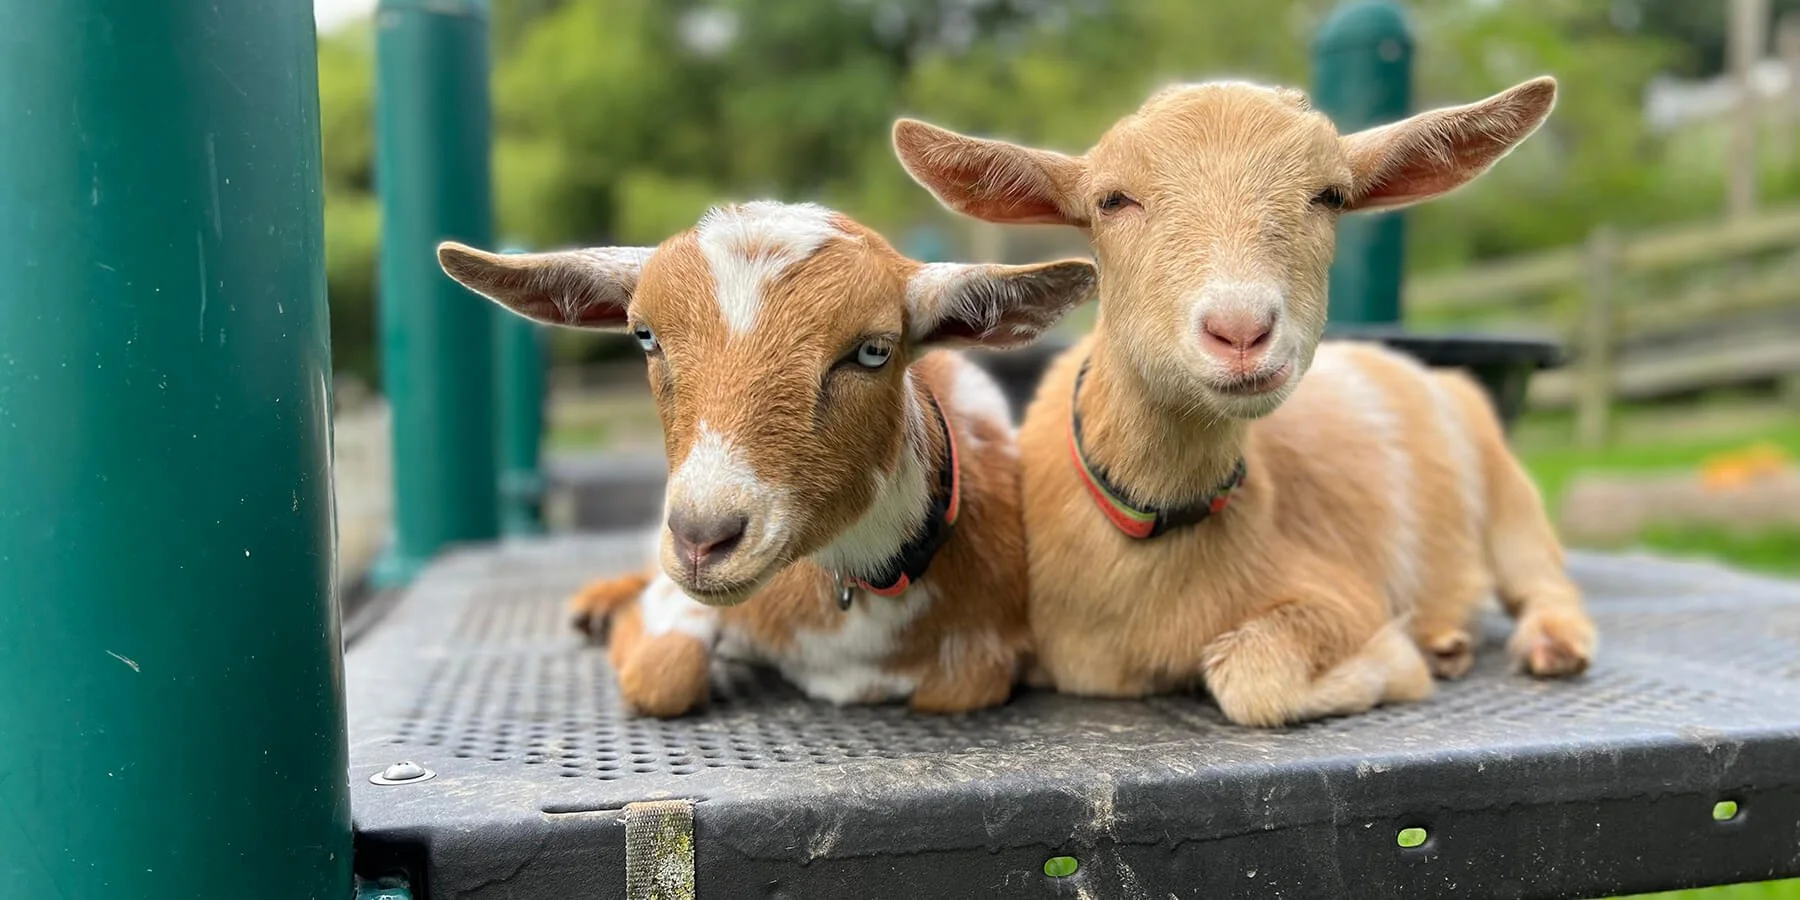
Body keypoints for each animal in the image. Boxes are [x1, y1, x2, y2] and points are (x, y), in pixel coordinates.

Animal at [437, 201, 1096, 716]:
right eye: (645, 336)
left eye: (873, 350)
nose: (701, 539)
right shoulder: (679, 601)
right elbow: (663, 673)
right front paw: (624, 628)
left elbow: (964, 685)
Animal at [891, 77, 1597, 727]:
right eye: (1112, 200)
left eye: (1330, 196)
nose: (1240, 331)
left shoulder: (1339, 595)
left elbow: (1251, 676)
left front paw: (1393, 664)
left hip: (1509, 493)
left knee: (1544, 577)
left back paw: (1545, 644)